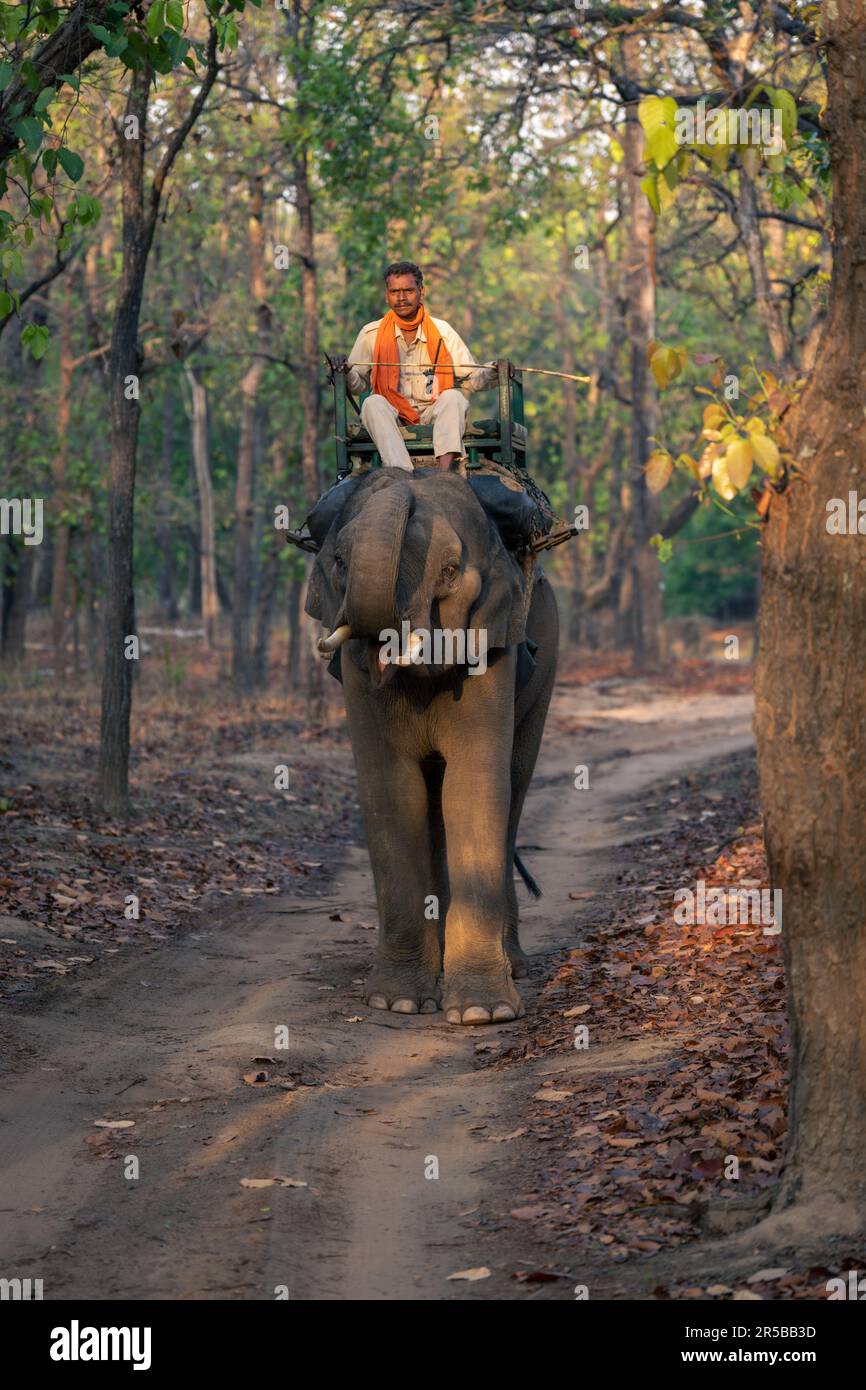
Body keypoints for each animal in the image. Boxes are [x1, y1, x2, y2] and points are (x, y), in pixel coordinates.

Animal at [306, 465, 559, 1025]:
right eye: (338, 562)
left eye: (448, 570)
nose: (400, 473)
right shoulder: (356, 671)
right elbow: (391, 791)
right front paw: (397, 1003)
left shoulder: (491, 648)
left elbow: (473, 784)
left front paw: (482, 1014)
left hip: (548, 658)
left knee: (514, 783)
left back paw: (514, 966)